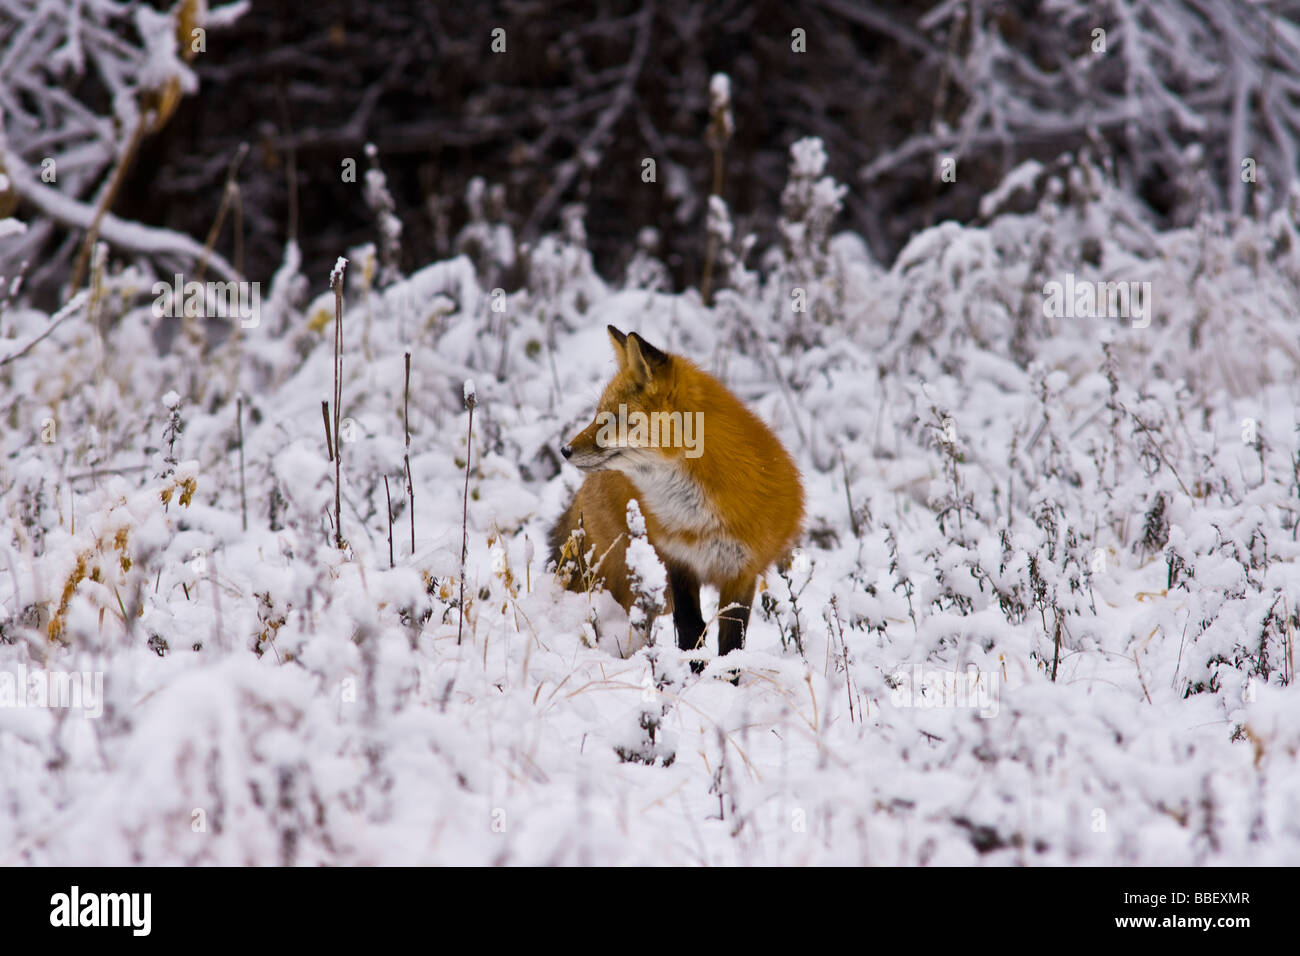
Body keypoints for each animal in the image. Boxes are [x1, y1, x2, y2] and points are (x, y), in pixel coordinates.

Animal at [549, 325, 804, 667]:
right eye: (597, 414)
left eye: (612, 418)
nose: (564, 450)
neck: (697, 514)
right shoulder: (679, 561)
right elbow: (690, 627)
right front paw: (691, 673)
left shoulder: (743, 572)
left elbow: (732, 644)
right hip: (623, 576)